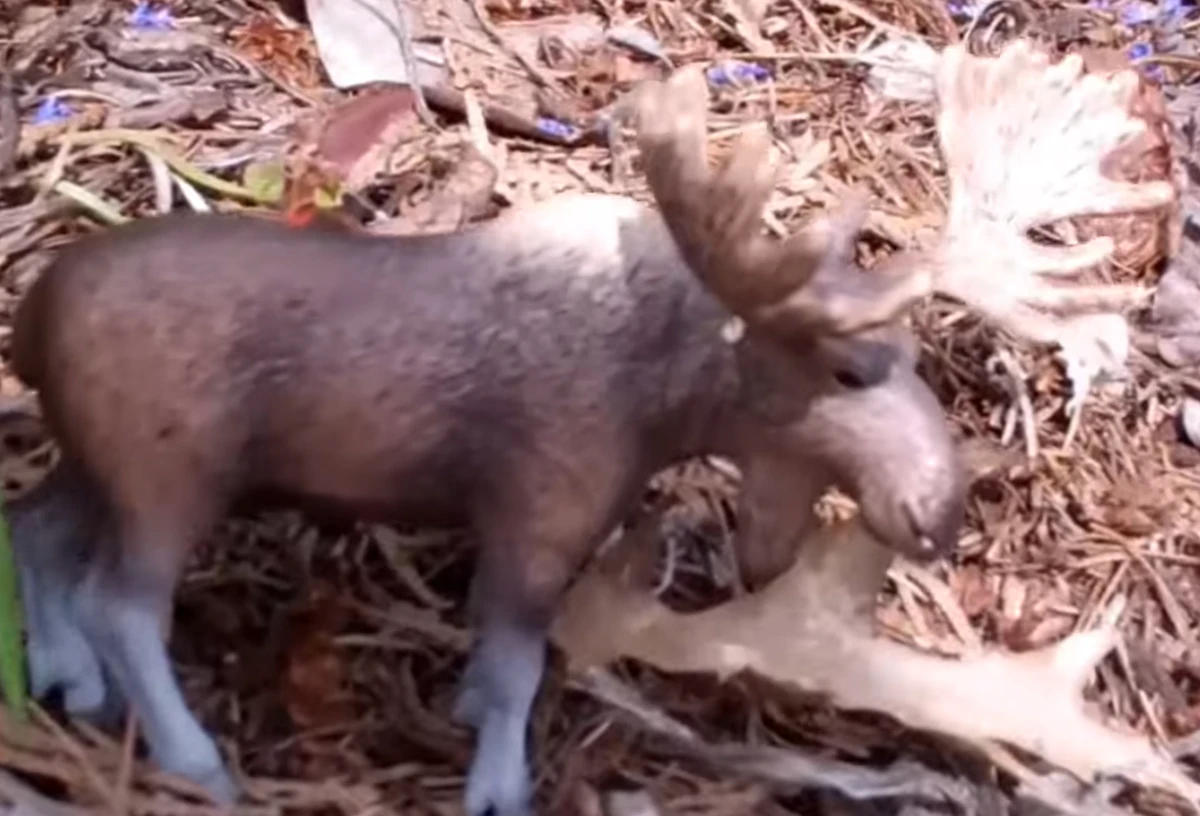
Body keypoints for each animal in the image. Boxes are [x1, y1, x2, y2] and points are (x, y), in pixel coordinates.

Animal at [3, 38, 1174, 816]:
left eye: (925, 362)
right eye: (847, 368)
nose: (938, 512)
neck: (670, 400)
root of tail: (35, 311)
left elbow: (496, 669)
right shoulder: (538, 512)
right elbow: (516, 668)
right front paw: (498, 786)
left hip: (94, 463)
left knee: (37, 532)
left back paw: (68, 678)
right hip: (171, 476)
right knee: (123, 604)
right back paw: (191, 757)